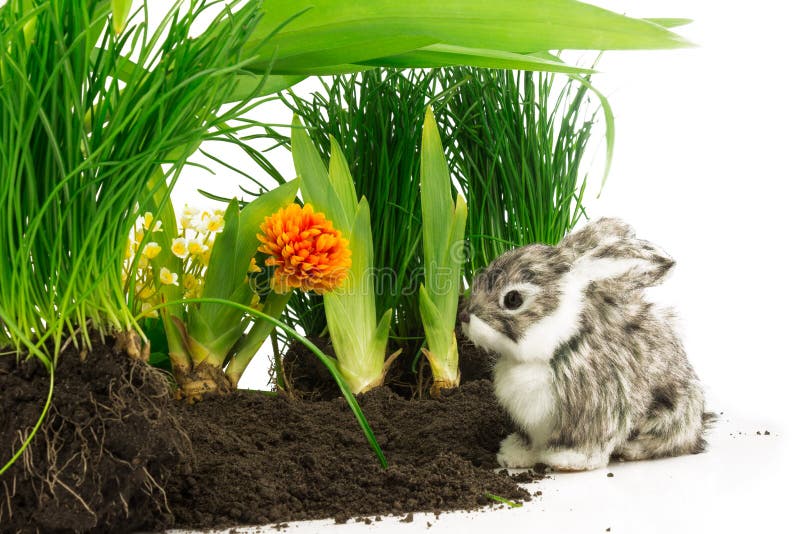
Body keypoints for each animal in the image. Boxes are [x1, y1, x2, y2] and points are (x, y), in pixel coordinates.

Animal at [460, 218, 710, 471]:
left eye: (513, 299)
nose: (464, 316)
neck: (558, 344)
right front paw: (513, 455)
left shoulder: (598, 408)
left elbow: (588, 442)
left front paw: (567, 460)